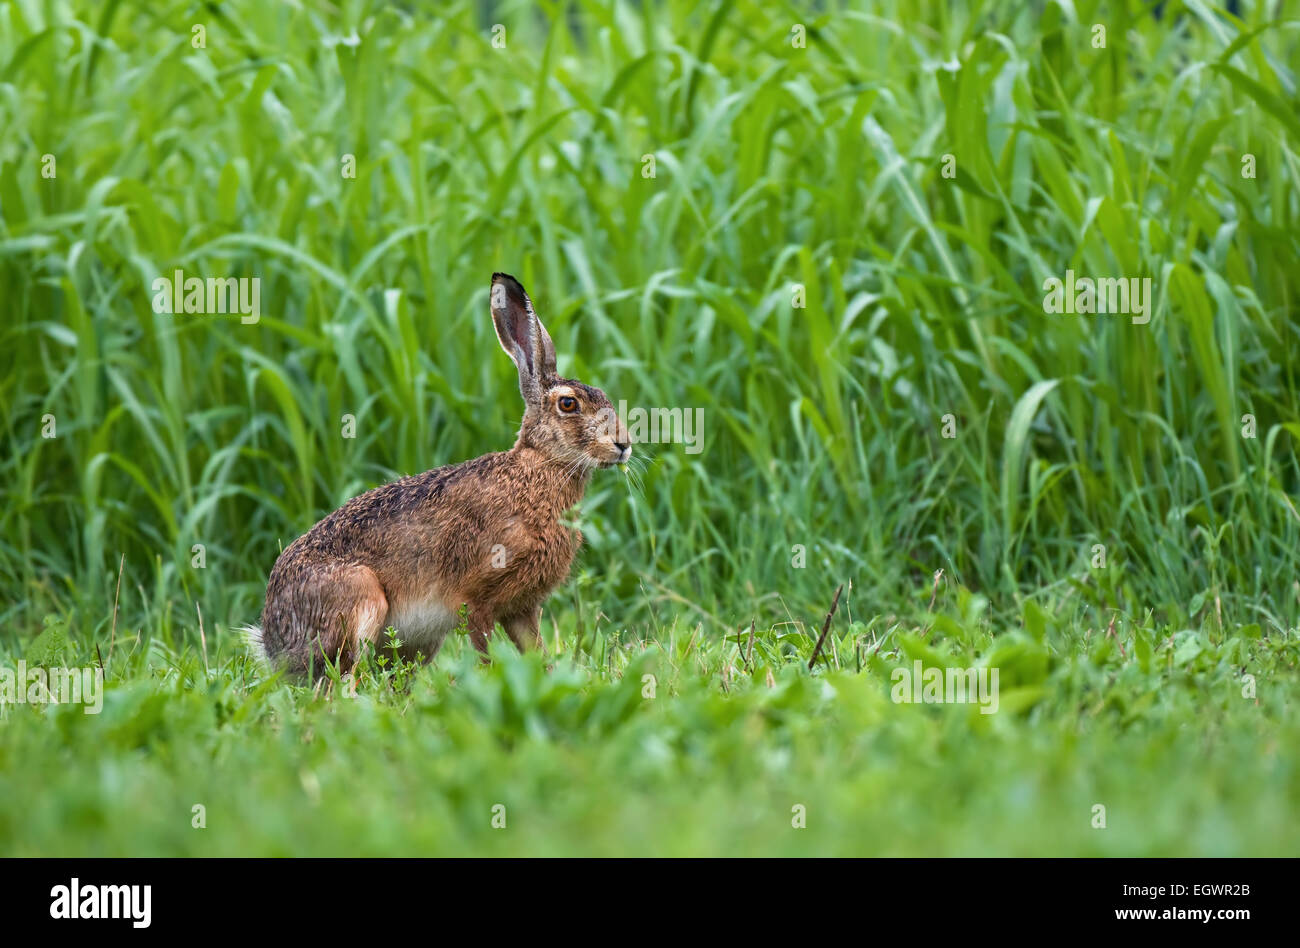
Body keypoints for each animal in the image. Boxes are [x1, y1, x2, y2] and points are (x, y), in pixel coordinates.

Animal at [244, 273, 631, 678]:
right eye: (568, 404)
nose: (623, 444)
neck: (537, 468)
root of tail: (275, 646)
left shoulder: (522, 608)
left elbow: (536, 652)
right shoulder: (476, 599)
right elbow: (486, 652)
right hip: (361, 598)